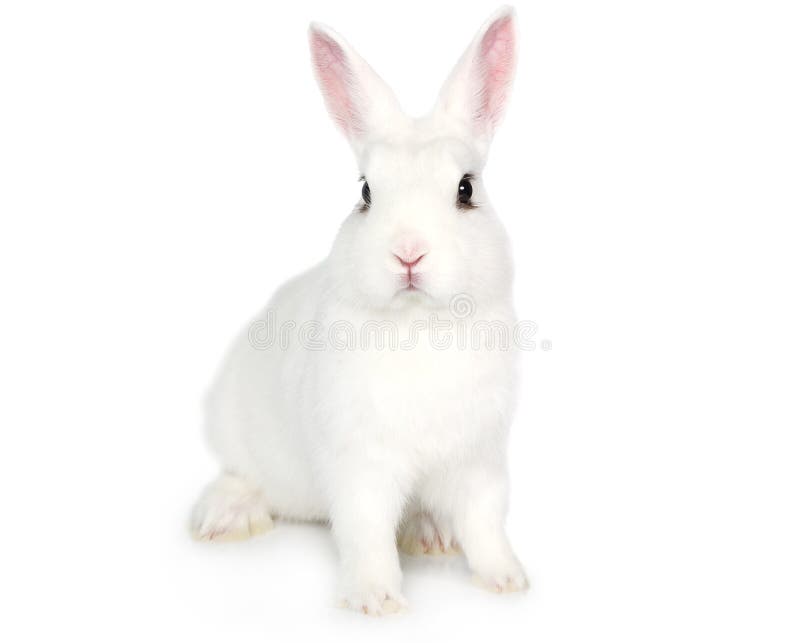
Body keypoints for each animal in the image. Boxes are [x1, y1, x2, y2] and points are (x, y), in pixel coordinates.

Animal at [191, 6, 528, 615]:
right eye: (366, 193)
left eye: (466, 189)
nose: (409, 252)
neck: (419, 328)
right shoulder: (360, 466)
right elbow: (366, 530)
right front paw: (376, 600)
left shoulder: (479, 460)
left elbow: (486, 522)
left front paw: (507, 579)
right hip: (236, 430)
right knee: (242, 474)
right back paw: (226, 516)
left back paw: (431, 534)